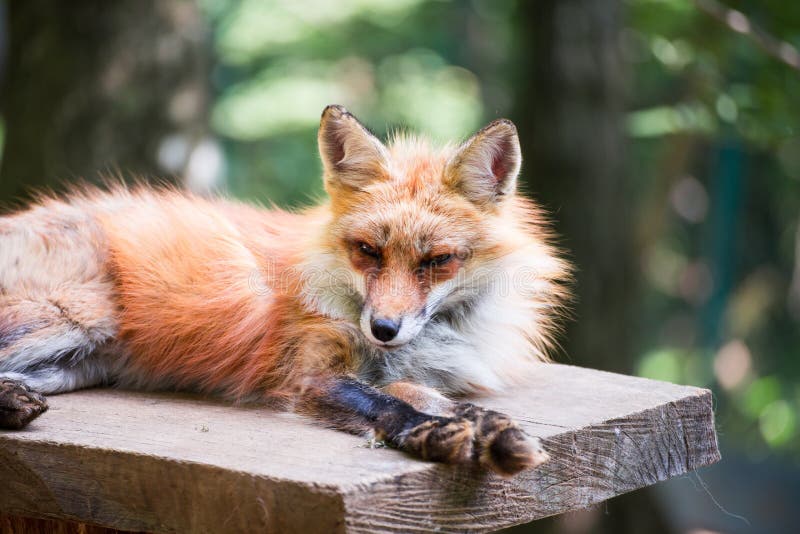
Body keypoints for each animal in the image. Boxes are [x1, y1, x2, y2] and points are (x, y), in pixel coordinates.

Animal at [0, 105, 570, 476]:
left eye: (437, 261)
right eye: (367, 250)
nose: (383, 329)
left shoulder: (401, 372)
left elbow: (446, 402)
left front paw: (495, 430)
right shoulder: (310, 373)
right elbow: (387, 407)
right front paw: (432, 435)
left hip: (76, 364)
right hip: (74, 317)